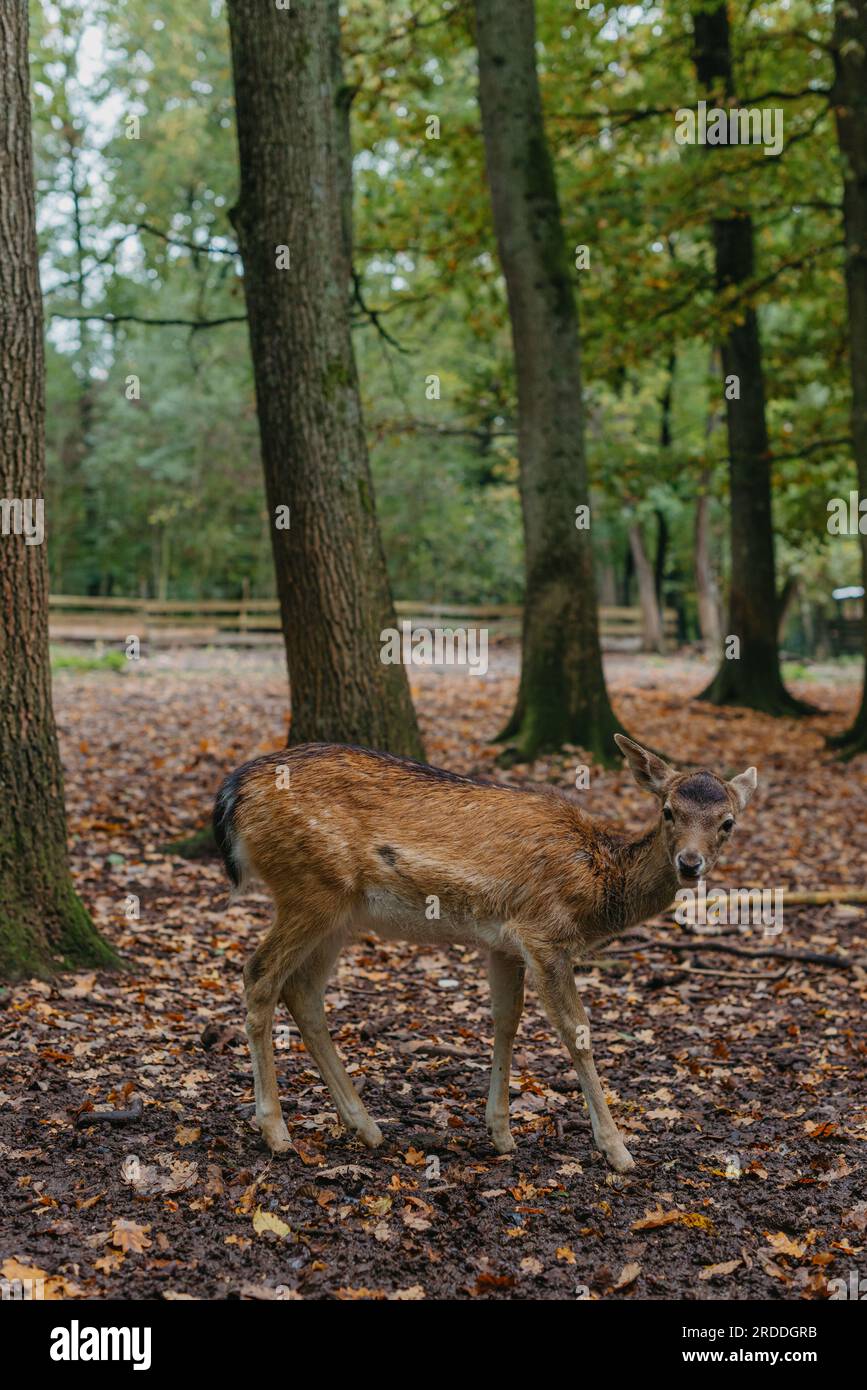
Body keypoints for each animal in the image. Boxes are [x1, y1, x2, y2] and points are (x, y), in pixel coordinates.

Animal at [213, 735, 757, 1173]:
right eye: (668, 811)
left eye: (728, 822)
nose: (691, 863)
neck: (597, 886)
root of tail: (233, 794)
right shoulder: (544, 933)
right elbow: (577, 1031)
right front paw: (618, 1151)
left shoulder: (506, 944)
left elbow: (505, 1020)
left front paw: (501, 1134)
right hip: (310, 889)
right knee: (259, 973)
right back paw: (277, 1132)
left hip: (338, 913)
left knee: (303, 990)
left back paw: (365, 1126)